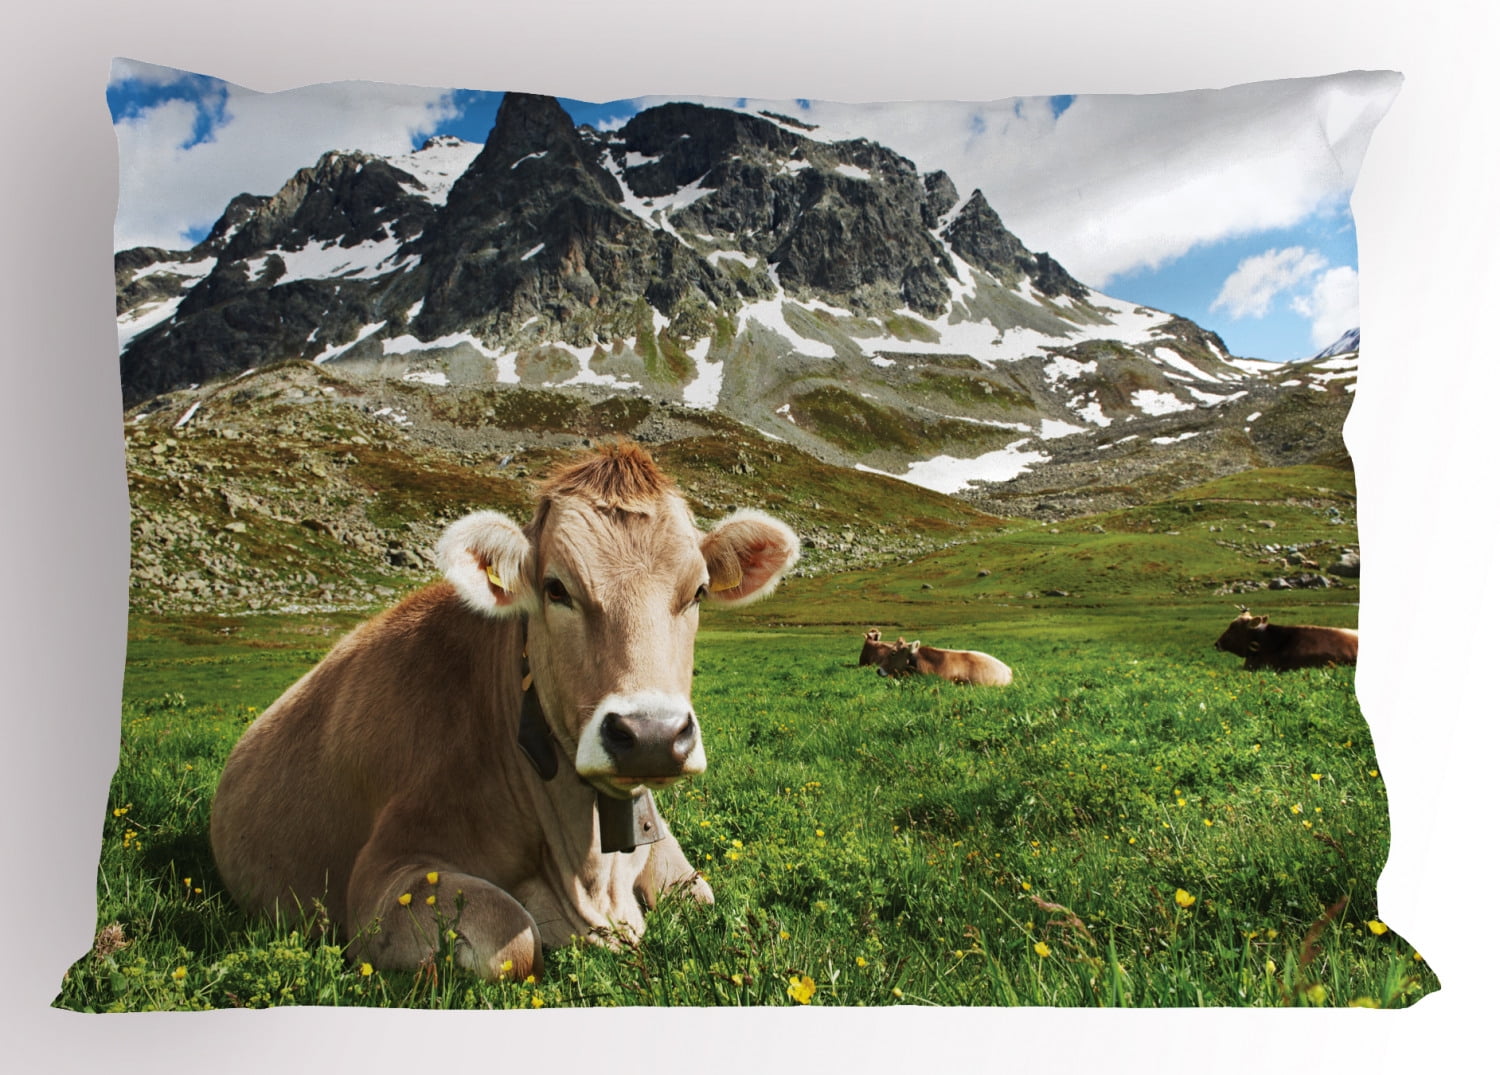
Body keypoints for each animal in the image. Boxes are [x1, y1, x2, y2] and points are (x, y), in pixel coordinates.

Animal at [209, 443, 799, 981]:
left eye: (698, 591)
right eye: (556, 588)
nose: (651, 735)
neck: (590, 875)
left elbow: (701, 895)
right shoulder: (380, 876)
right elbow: (514, 937)